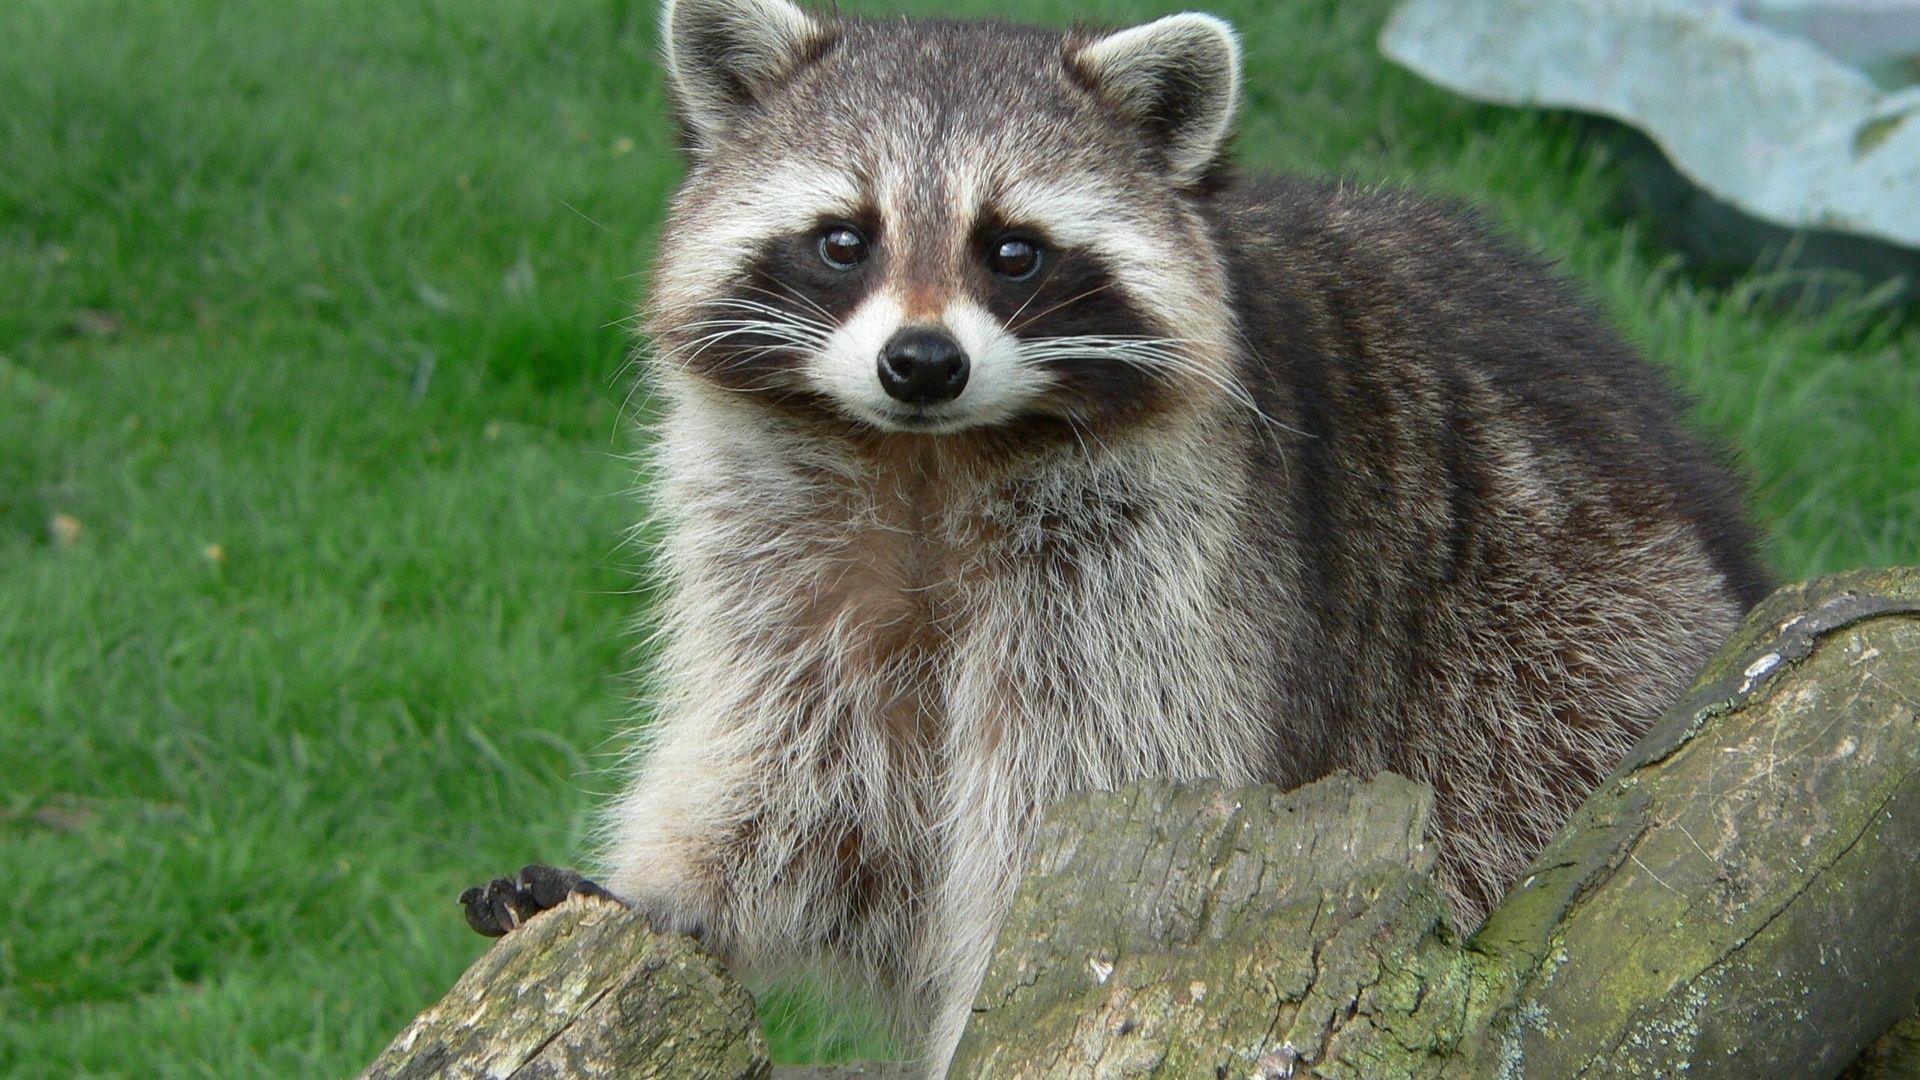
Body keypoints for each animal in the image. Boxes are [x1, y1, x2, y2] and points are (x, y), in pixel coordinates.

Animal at [461, 0, 1769, 1070]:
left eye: (1011, 249)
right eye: (844, 238)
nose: (921, 363)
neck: (927, 460)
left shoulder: (1157, 578)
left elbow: (1076, 800)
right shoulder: (782, 554)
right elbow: (799, 777)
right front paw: (671, 893)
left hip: (1556, 656)